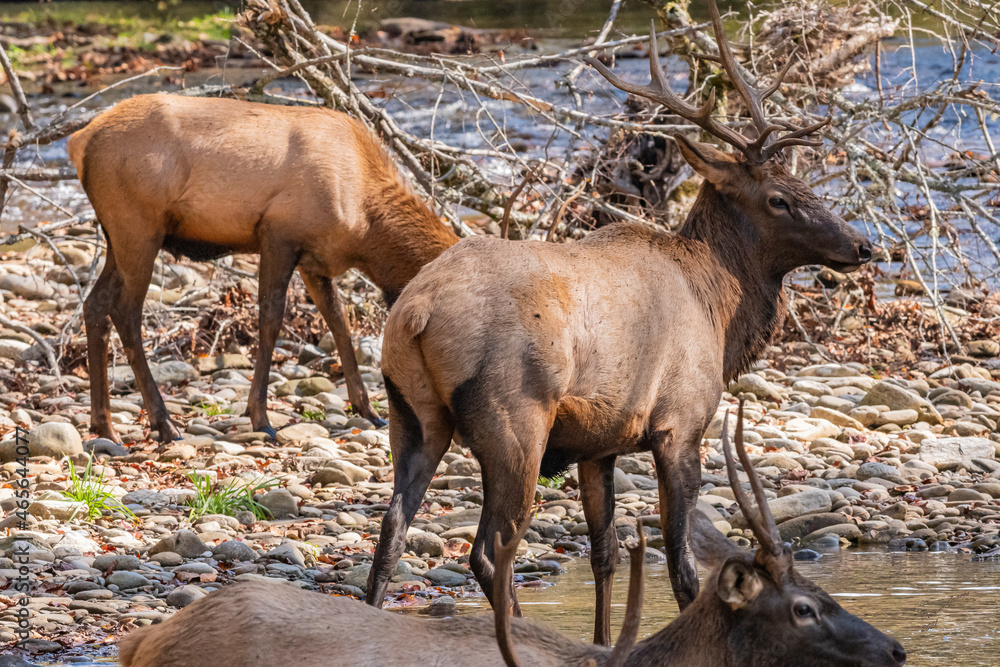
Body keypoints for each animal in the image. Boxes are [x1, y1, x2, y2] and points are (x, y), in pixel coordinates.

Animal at [66, 95, 459, 443]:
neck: (366, 228)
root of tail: (79, 140)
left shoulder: (314, 260)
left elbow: (339, 323)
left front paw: (368, 409)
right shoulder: (278, 235)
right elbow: (270, 320)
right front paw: (260, 417)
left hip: (117, 237)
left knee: (95, 305)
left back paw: (104, 426)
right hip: (139, 229)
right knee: (126, 312)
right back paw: (163, 424)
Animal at [366, 0, 874, 647]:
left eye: (806, 186)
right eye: (779, 199)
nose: (862, 246)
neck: (718, 310)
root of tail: (415, 313)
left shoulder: (599, 443)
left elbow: (604, 552)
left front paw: (607, 640)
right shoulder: (680, 422)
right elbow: (682, 567)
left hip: (412, 412)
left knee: (391, 530)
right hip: (515, 421)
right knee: (489, 549)